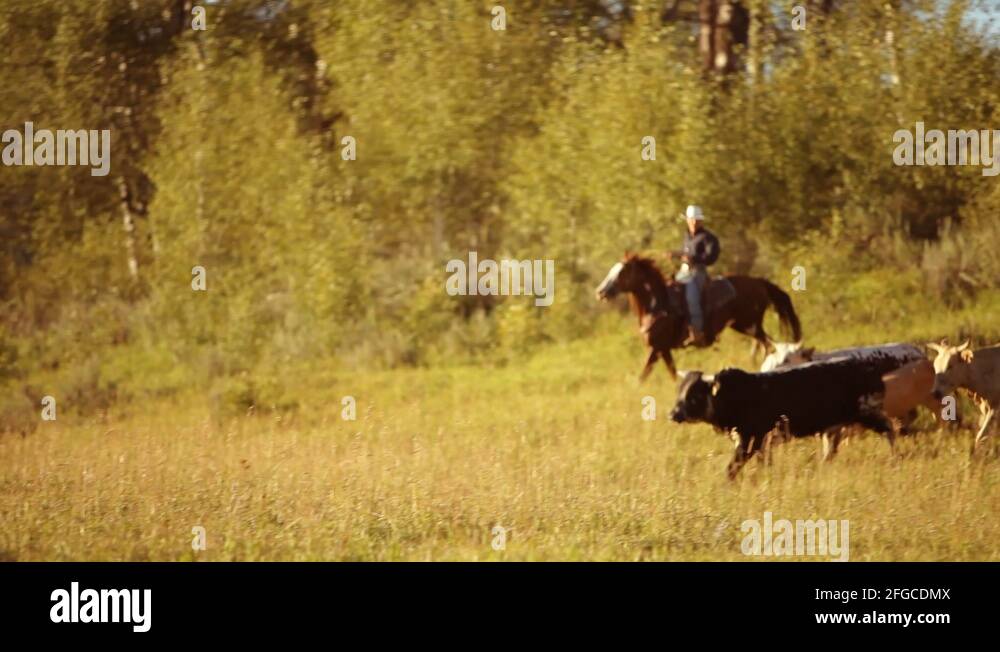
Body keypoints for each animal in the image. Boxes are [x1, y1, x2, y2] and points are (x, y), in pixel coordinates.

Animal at [670, 359, 897, 479]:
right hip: (835, 427)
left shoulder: (752, 439)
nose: (673, 414)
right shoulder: (760, 442)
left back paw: (896, 458)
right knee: (831, 449)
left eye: (694, 396)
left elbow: (732, 467)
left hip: (870, 414)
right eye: (680, 391)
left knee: (890, 431)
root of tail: (870, 369)